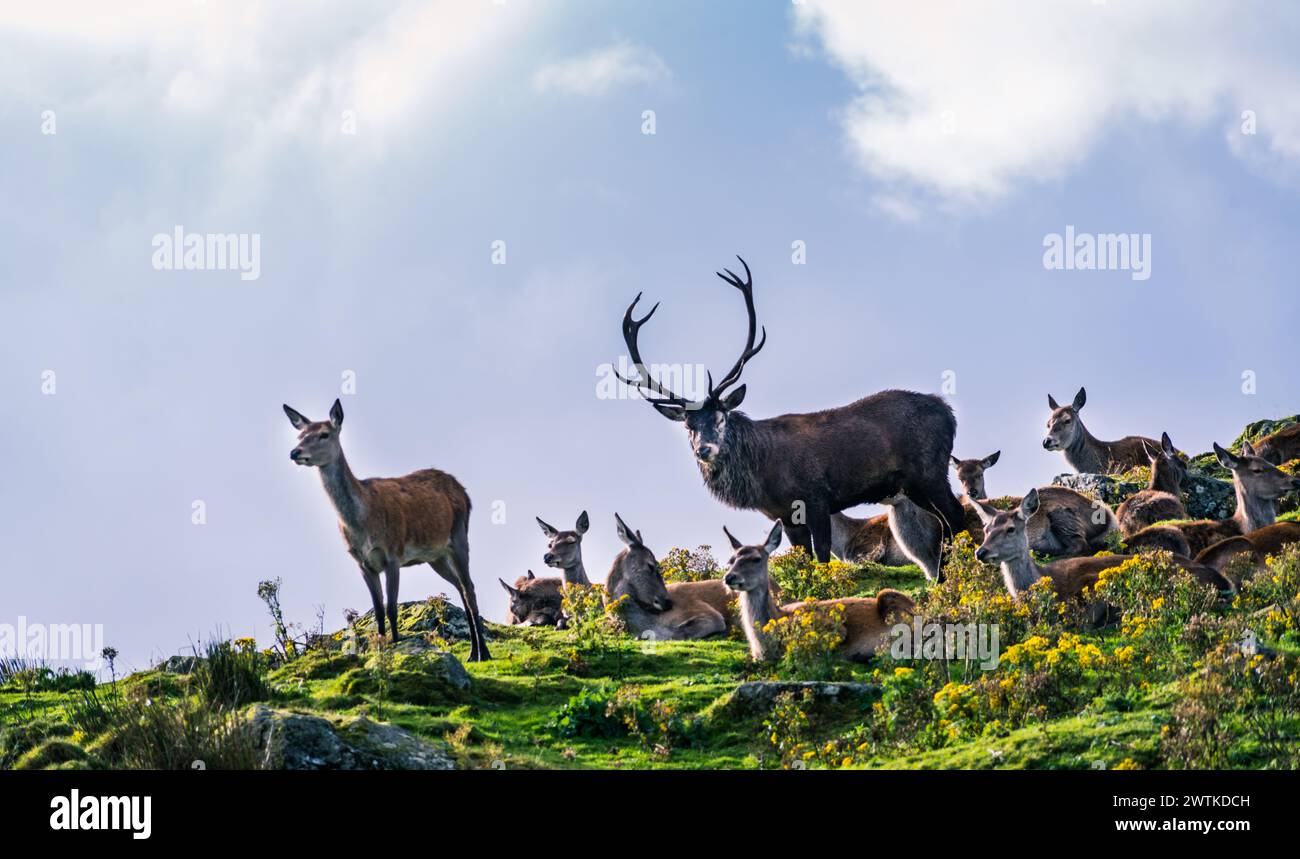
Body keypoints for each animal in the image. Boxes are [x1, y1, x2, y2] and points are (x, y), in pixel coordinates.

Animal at [284, 400, 490, 661]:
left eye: (324, 434)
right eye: (300, 435)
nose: (295, 452)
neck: (361, 524)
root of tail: (464, 491)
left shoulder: (393, 553)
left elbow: (392, 608)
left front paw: (397, 644)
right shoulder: (362, 563)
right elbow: (378, 610)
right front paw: (382, 648)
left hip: (459, 535)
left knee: (470, 588)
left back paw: (483, 653)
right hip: (436, 556)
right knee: (460, 588)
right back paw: (474, 652)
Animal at [616, 257, 967, 567]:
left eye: (720, 417)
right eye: (688, 425)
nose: (705, 449)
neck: (764, 474)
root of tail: (949, 413)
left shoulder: (816, 498)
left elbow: (823, 556)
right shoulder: (783, 515)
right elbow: (804, 560)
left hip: (929, 470)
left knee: (956, 515)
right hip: (915, 483)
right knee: (944, 521)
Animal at [949, 450, 1118, 556]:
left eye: (980, 474)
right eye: (959, 478)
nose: (971, 492)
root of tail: (1109, 515)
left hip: (1063, 517)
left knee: (1080, 545)